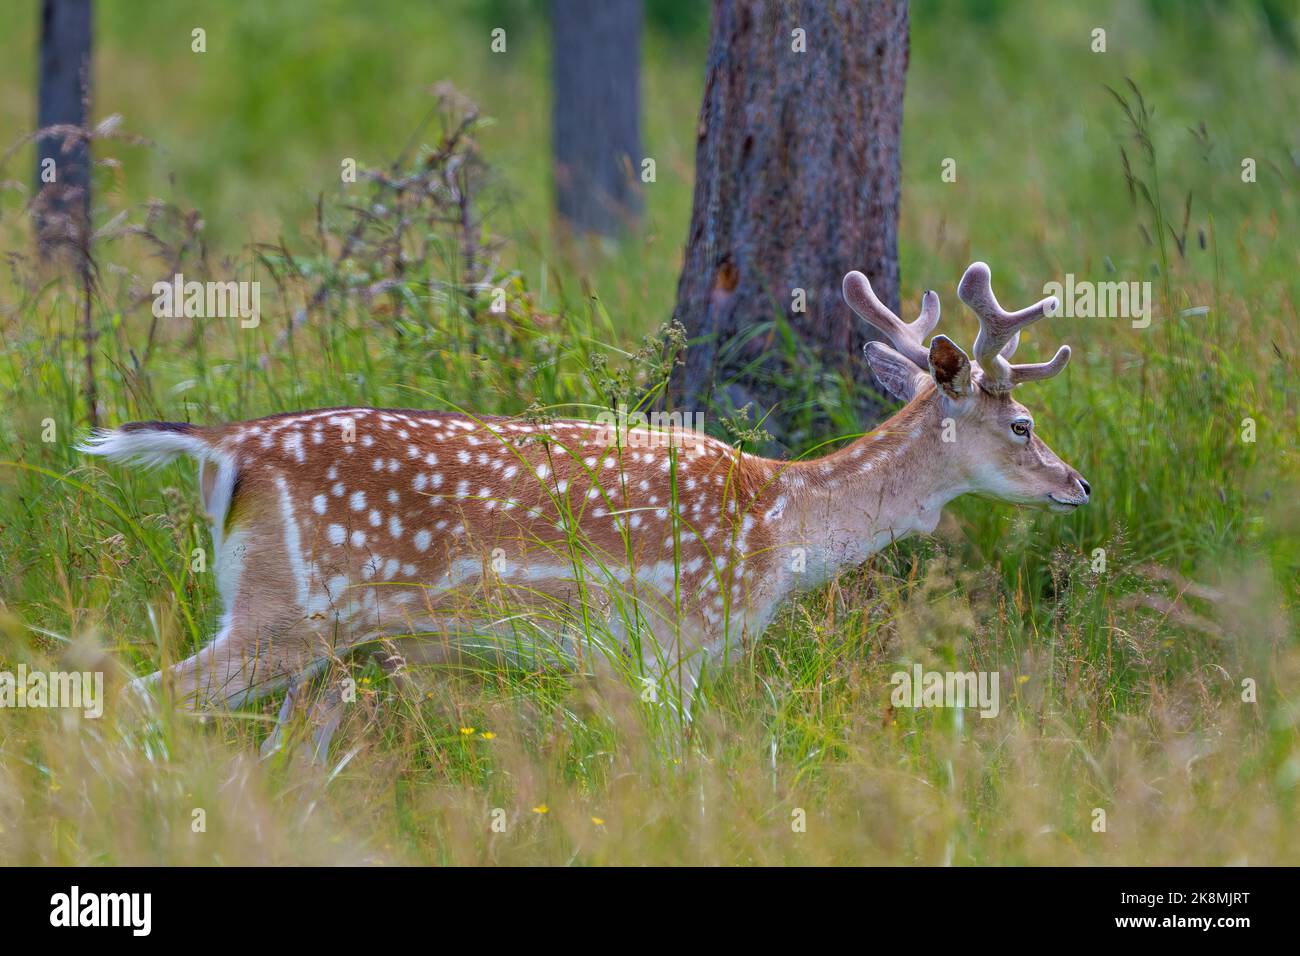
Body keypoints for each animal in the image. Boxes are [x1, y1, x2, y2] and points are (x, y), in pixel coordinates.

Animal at [80, 261, 1089, 762]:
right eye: (1024, 424)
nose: (1079, 484)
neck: (781, 529)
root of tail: (226, 447)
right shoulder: (672, 639)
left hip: (337, 644)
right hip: (284, 613)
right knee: (135, 698)